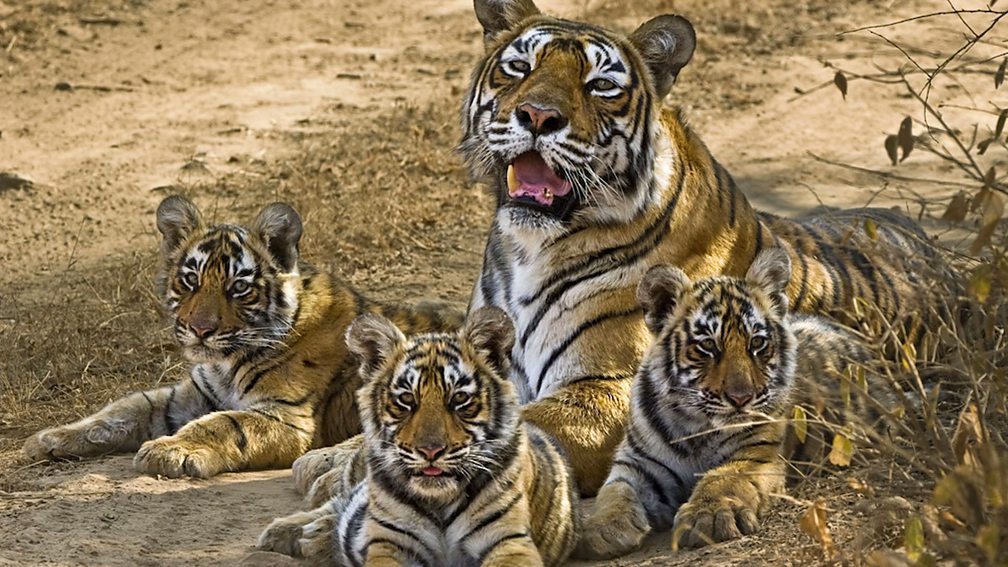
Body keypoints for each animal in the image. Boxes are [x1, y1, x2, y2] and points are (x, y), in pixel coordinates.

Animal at [22, 195, 462, 478]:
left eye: (238, 288)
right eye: (190, 280)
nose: (200, 329)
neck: (226, 362)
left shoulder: (286, 416)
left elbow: (223, 425)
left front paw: (170, 450)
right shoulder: (189, 396)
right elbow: (122, 410)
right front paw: (50, 438)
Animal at [257, 307, 579, 567]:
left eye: (459, 398)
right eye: (405, 400)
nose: (430, 451)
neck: (440, 501)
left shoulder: (508, 541)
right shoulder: (391, 543)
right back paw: (287, 533)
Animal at [293, 0, 954, 500]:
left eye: (600, 85)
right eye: (519, 68)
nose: (537, 115)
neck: (529, 245)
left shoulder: (606, 389)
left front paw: (342, 472)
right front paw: (329, 459)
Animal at [577, 247, 890, 557]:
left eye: (757, 343)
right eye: (707, 346)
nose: (741, 398)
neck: (696, 425)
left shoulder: (756, 454)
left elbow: (723, 479)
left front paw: (708, 517)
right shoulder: (639, 462)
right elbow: (615, 491)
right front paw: (601, 528)